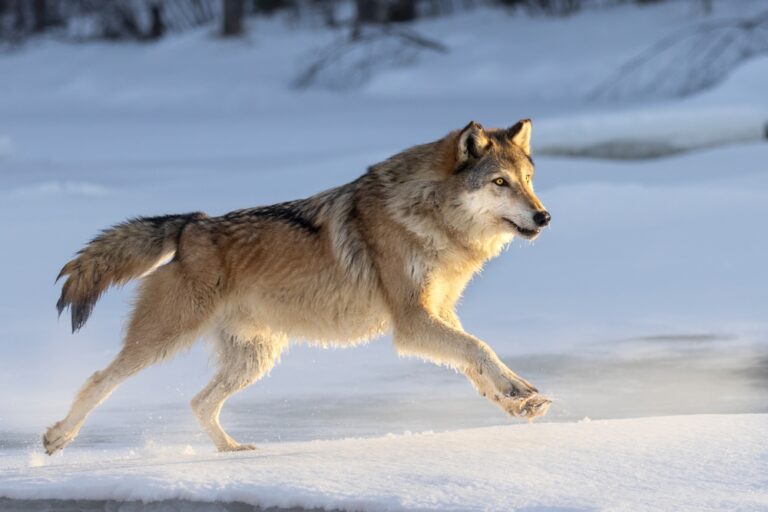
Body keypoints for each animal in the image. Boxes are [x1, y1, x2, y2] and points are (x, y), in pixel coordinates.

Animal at [44, 120, 552, 454]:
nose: (544, 216)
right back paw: (57, 436)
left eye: (528, 181)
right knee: (99, 380)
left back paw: (232, 452)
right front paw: (518, 390)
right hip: (163, 342)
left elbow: (475, 362)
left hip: (254, 359)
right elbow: (479, 349)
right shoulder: (412, 324)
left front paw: (518, 401)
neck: (428, 213)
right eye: (500, 182)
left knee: (199, 402)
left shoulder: (441, 314)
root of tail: (191, 225)